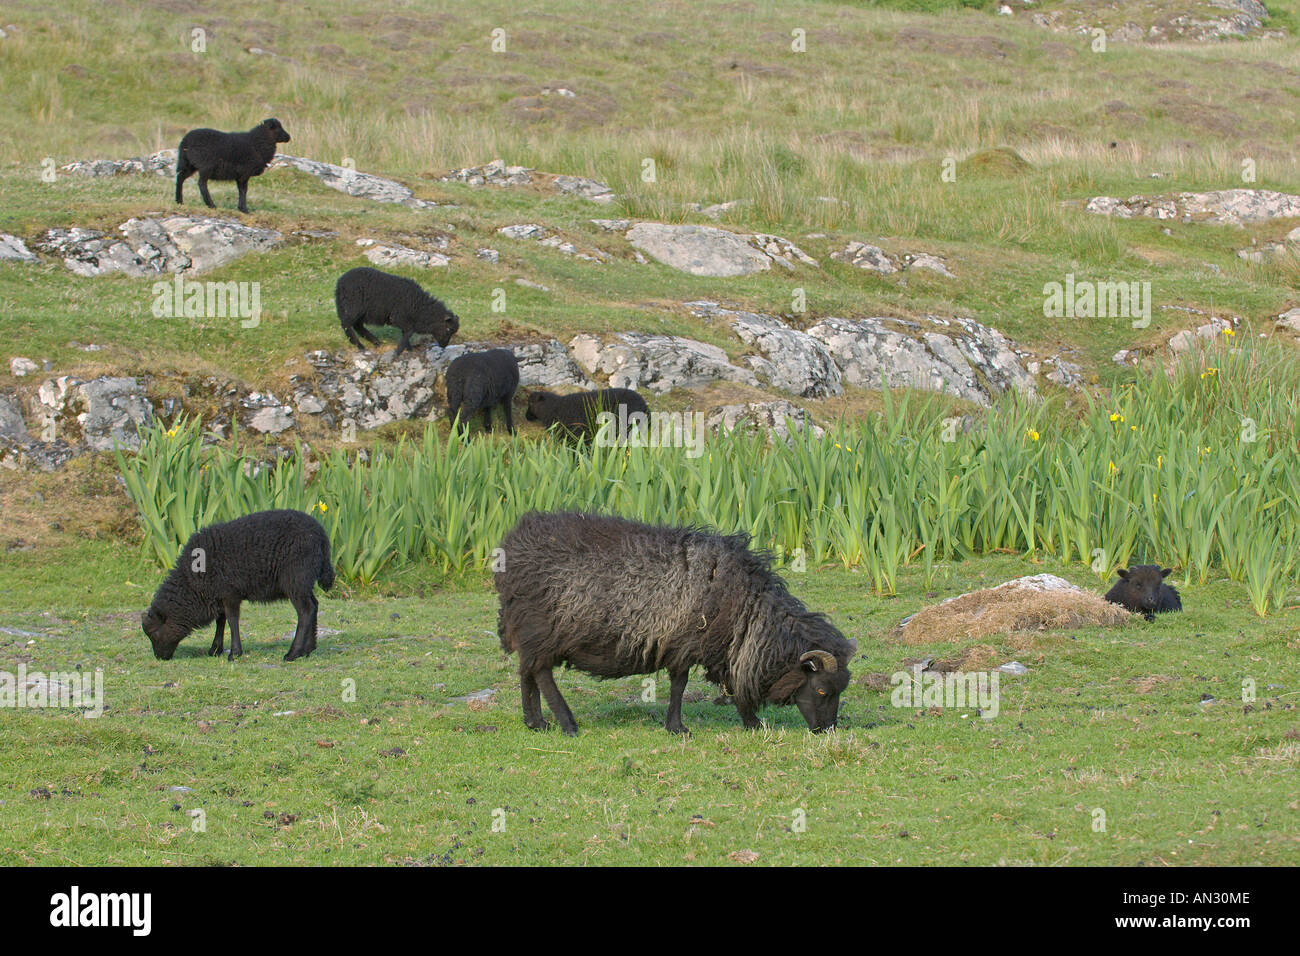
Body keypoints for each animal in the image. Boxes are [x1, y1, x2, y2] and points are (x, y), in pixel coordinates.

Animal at [141, 509, 334, 662]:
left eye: (154, 633)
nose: (159, 657)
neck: (191, 585)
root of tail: (321, 534)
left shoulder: (229, 593)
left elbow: (232, 620)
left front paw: (234, 653)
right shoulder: (218, 593)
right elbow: (221, 620)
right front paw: (215, 649)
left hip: (296, 579)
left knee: (305, 611)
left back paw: (293, 653)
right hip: (304, 582)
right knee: (314, 606)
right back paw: (308, 649)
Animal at [495, 511, 856, 735]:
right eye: (822, 689)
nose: (827, 730)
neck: (749, 610)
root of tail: (510, 547)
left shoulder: (724, 647)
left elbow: (731, 684)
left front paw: (752, 723)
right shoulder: (689, 643)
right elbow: (681, 685)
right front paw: (678, 727)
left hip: (528, 629)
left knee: (527, 671)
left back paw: (536, 722)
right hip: (543, 627)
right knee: (541, 673)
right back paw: (567, 723)